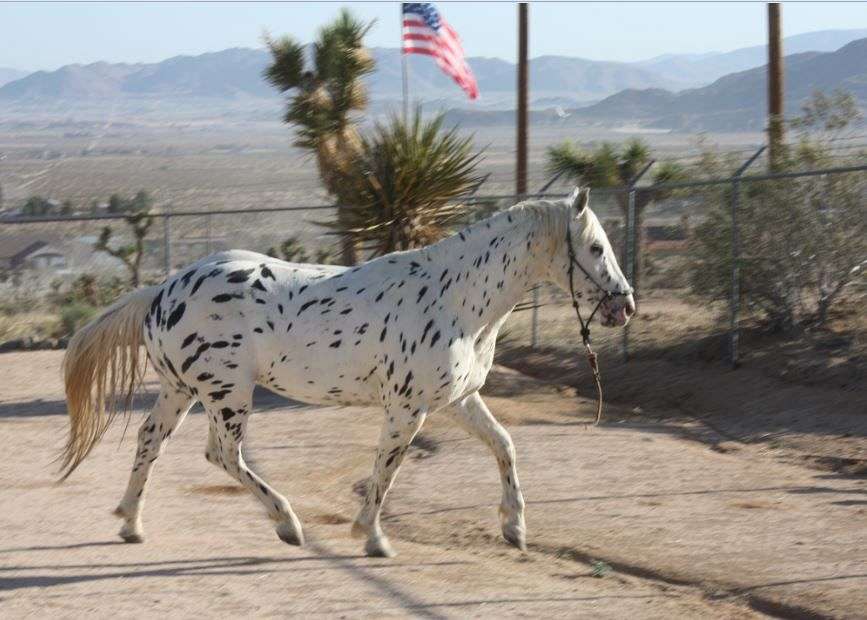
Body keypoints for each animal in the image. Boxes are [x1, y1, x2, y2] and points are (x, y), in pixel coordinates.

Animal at [59, 187, 634, 558]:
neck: (457, 299)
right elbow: (385, 471)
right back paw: (288, 525)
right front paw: (373, 539)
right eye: (596, 247)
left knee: (149, 441)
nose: (624, 306)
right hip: (227, 393)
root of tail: (164, 289)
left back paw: (131, 524)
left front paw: (514, 528)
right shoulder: (407, 409)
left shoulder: (457, 400)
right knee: (222, 455)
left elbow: (504, 444)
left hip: (181, 390)